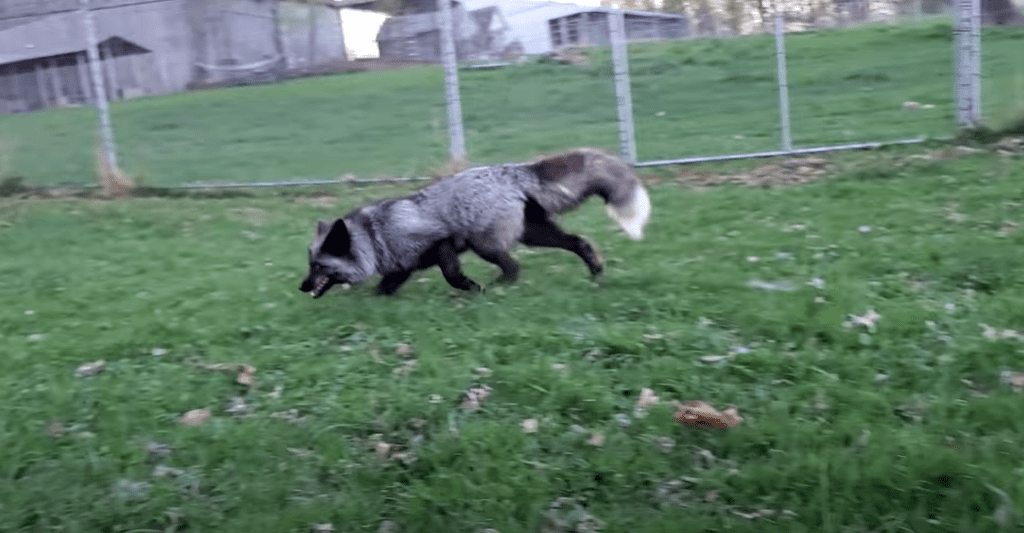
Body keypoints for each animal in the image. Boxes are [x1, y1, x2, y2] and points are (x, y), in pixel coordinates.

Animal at [299, 147, 651, 297]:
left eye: (318, 266)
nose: (301, 287)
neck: (375, 236)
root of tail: (513, 171)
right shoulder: (404, 266)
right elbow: (385, 288)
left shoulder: (440, 242)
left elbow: (452, 275)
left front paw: (472, 288)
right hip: (534, 235)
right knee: (578, 241)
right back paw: (595, 271)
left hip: (485, 244)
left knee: (514, 268)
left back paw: (498, 288)